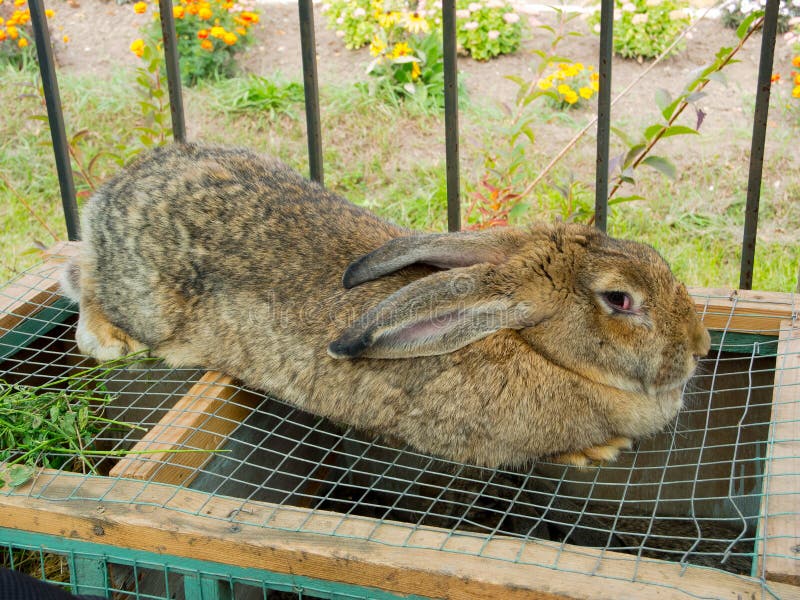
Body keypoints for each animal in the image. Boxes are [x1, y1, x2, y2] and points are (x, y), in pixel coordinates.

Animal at [61, 143, 711, 469]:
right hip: (144, 299)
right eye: (620, 300)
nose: (700, 347)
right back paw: (108, 338)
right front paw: (600, 447)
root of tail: (116, 188)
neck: (539, 349)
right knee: (81, 273)